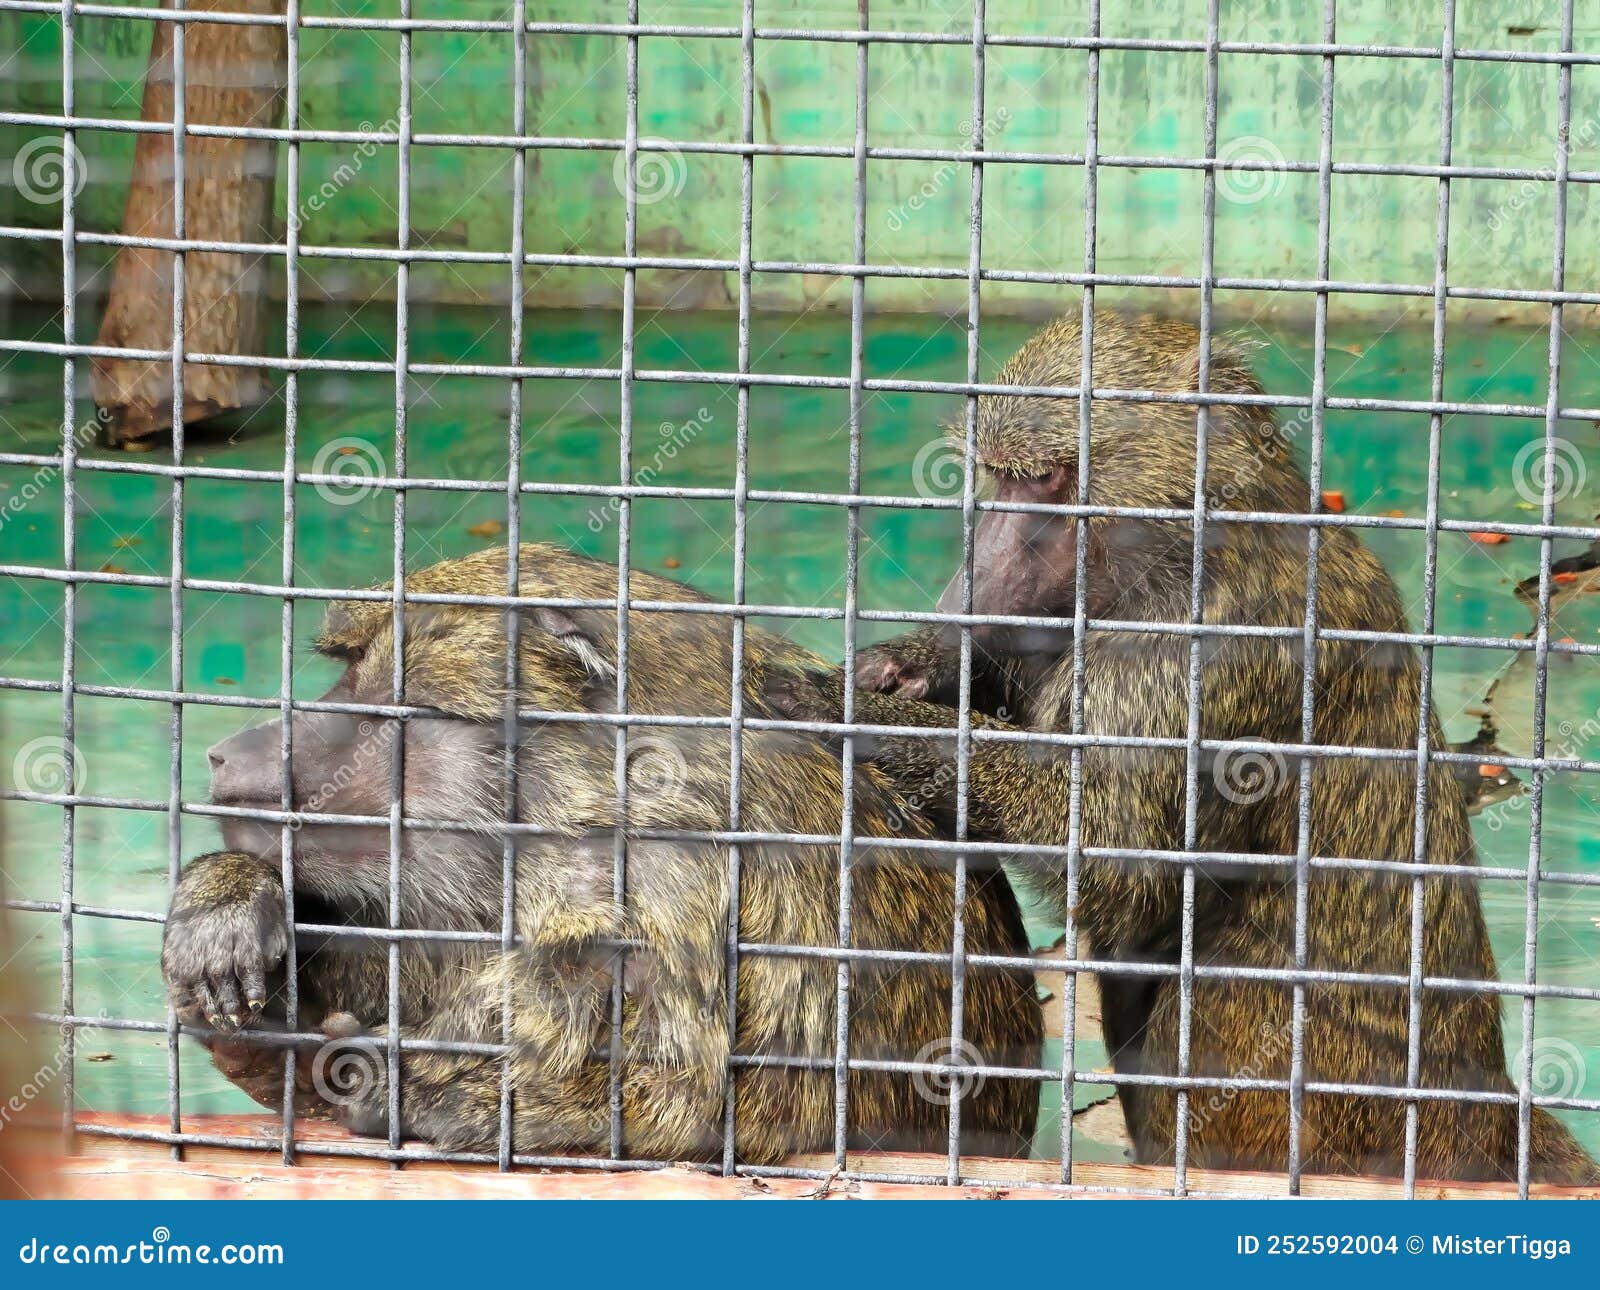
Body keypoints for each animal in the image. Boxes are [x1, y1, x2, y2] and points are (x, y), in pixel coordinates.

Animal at [160, 543, 1042, 1165]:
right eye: (345, 677)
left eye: (384, 711)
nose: (232, 753)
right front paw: (229, 904)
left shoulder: (679, 879)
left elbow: (695, 1107)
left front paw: (424, 1096)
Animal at [769, 311, 1598, 1185]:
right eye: (1001, 479)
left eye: (1049, 481)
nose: (965, 595)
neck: (1193, 543)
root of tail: (1480, 1103)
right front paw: (911, 667)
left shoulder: (1198, 656)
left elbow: (1118, 855)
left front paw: (850, 709)